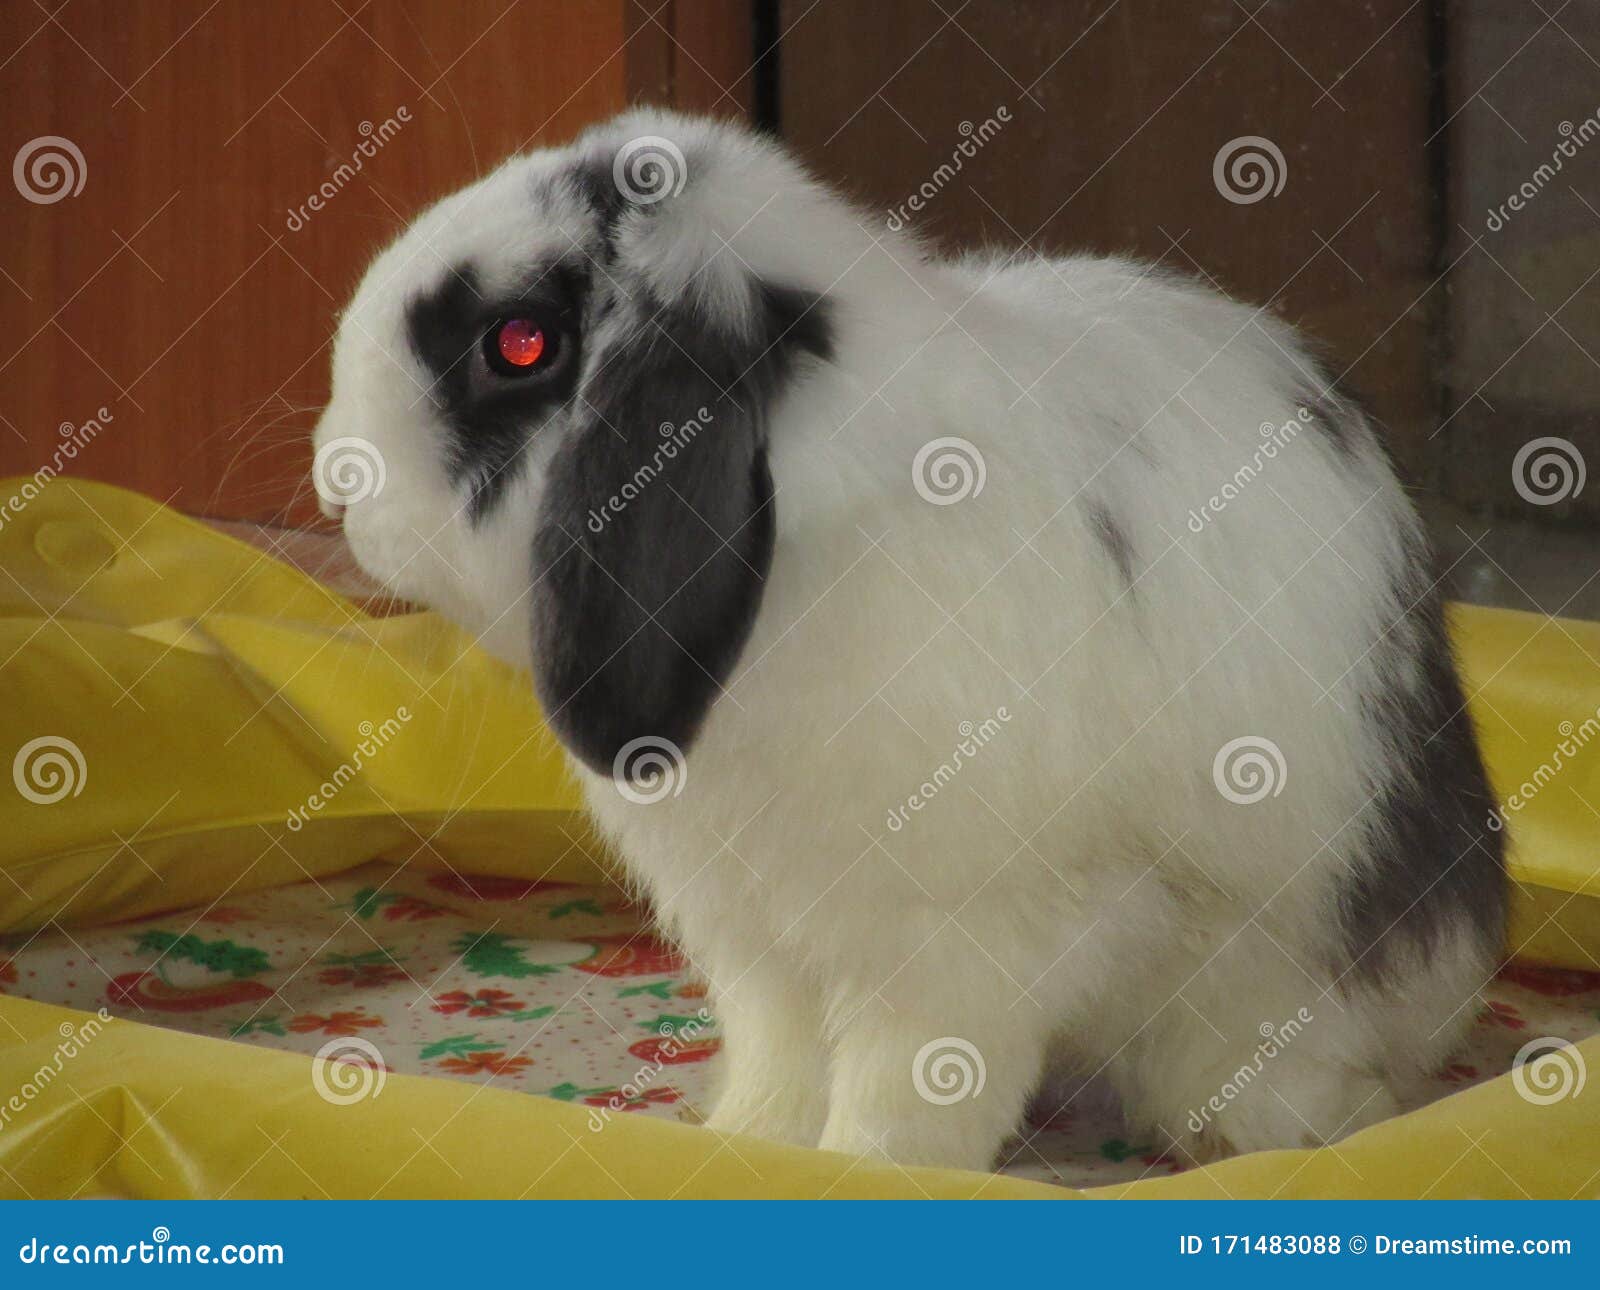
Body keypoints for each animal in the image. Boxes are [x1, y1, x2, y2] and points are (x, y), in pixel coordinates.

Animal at [311, 109, 1505, 1173]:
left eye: (520, 345)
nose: (337, 478)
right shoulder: (760, 939)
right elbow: (781, 1056)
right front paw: (747, 1146)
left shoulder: (954, 942)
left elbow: (913, 1083)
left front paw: (867, 1171)